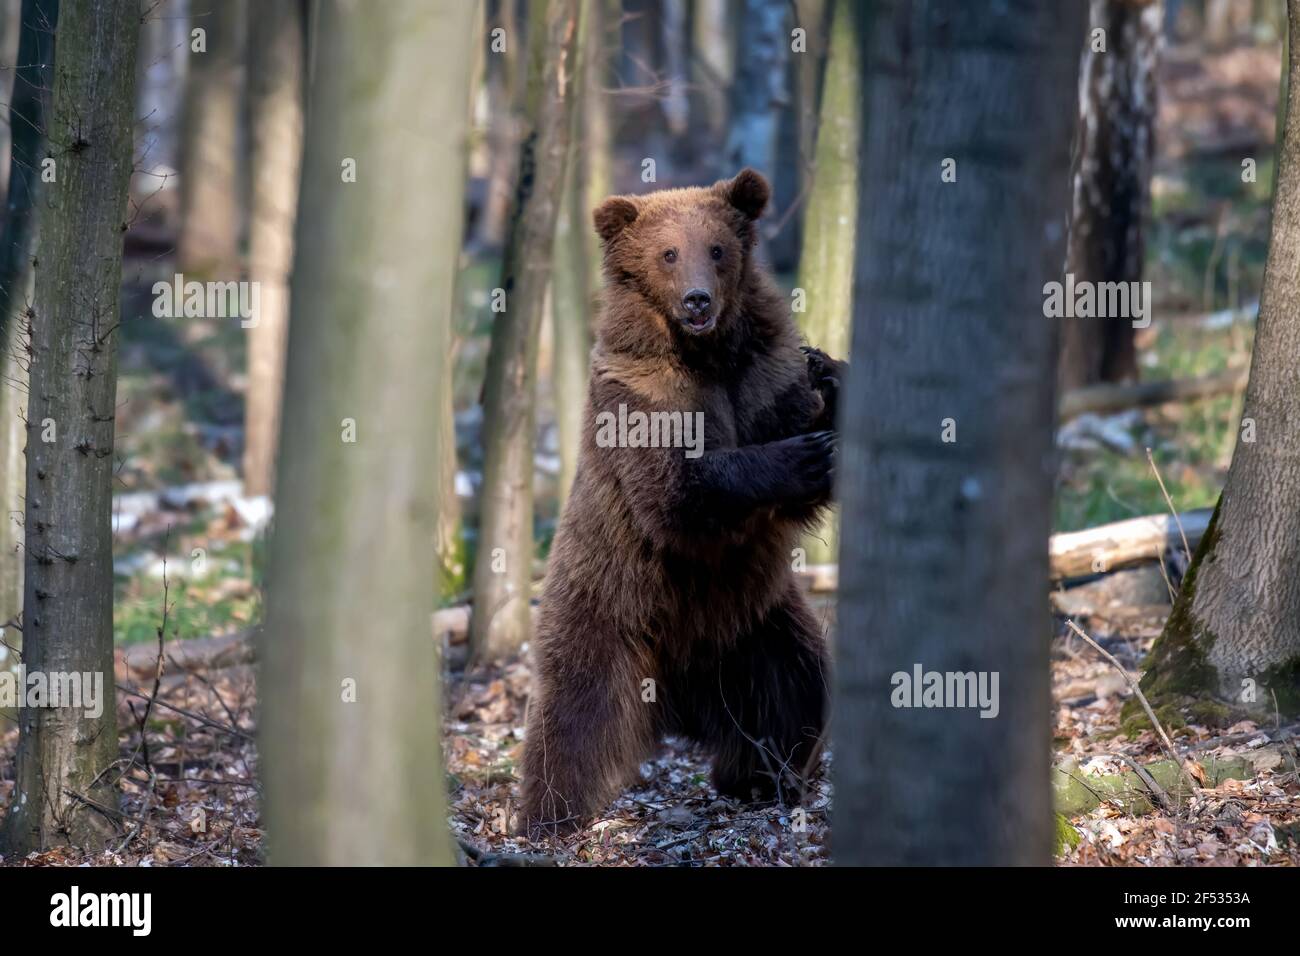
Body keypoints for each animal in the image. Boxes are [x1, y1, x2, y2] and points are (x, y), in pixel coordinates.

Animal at [519, 168, 846, 833]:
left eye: (717, 249)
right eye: (668, 253)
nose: (698, 300)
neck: (705, 355)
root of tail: (677, 691)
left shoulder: (761, 378)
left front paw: (830, 375)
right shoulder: (642, 397)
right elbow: (676, 490)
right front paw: (802, 455)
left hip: (755, 628)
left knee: (798, 688)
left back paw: (761, 778)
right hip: (608, 607)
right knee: (572, 714)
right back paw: (549, 815)